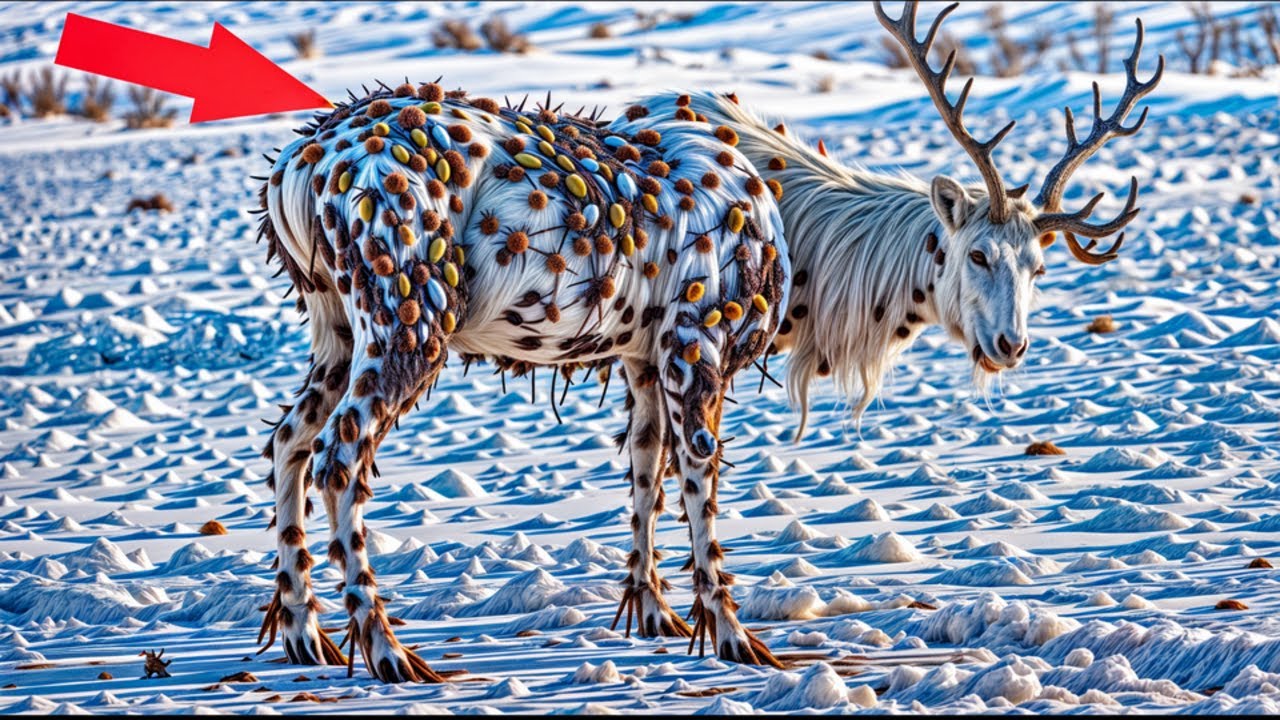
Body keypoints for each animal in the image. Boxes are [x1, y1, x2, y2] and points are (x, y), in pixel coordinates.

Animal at [252, 0, 1160, 682]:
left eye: (1039, 262)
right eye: (976, 253)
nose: (1010, 344)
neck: (810, 266)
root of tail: (292, 170)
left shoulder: (639, 354)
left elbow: (644, 470)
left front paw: (650, 612)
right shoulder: (698, 340)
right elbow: (701, 481)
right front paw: (730, 632)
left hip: (333, 324)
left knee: (287, 440)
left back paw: (303, 631)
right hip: (407, 315)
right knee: (338, 457)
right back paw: (386, 648)